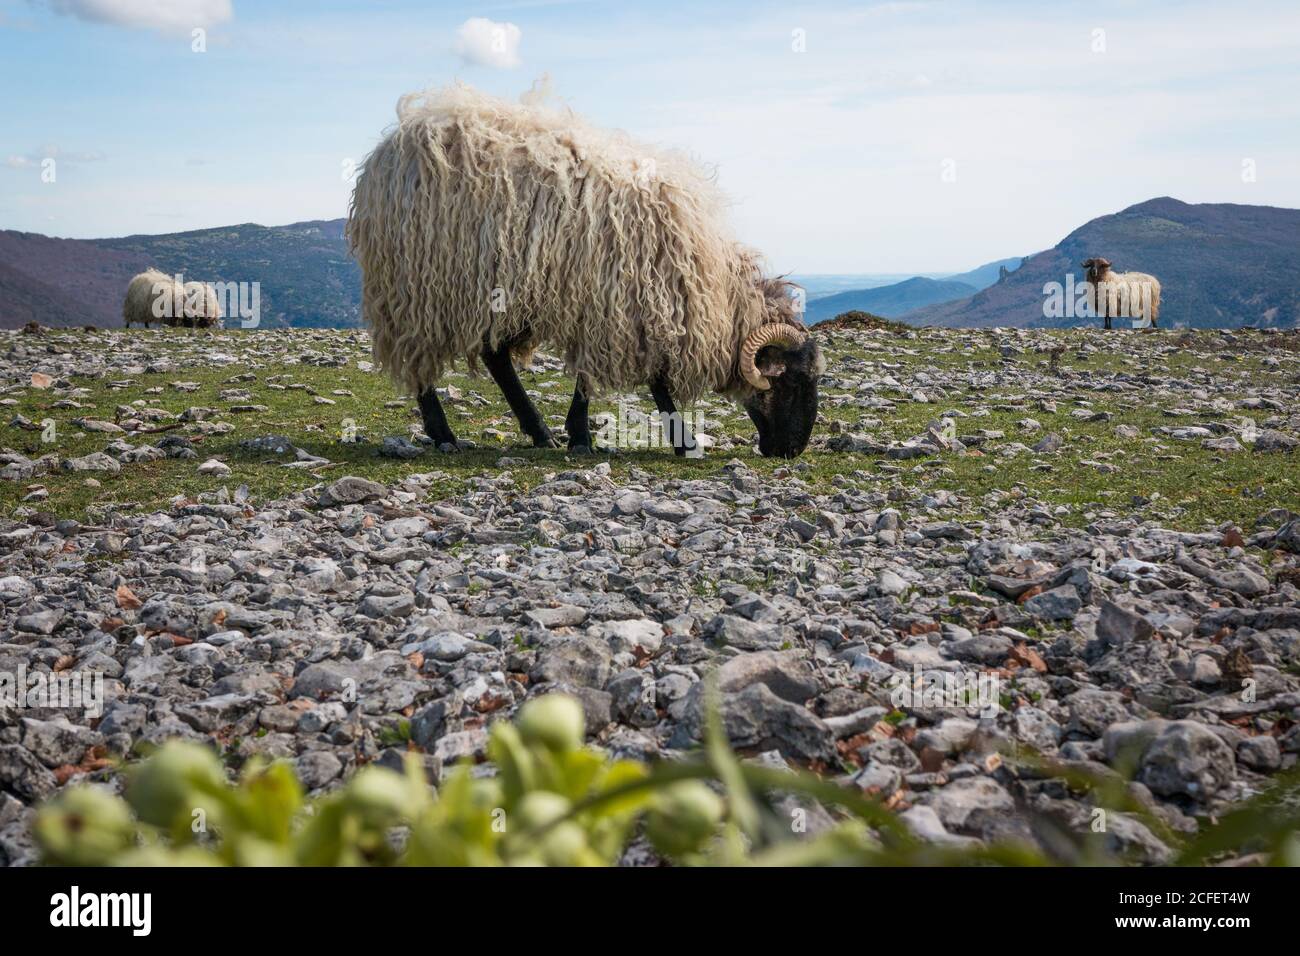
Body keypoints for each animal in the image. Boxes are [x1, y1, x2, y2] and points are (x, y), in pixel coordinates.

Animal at [346, 82, 821, 458]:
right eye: (791, 383)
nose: (791, 451)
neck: (712, 290)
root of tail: (391, 144)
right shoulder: (624, 309)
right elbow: (642, 380)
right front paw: (671, 440)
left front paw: (581, 434)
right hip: (419, 286)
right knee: (422, 360)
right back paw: (444, 433)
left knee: (495, 356)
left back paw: (537, 431)